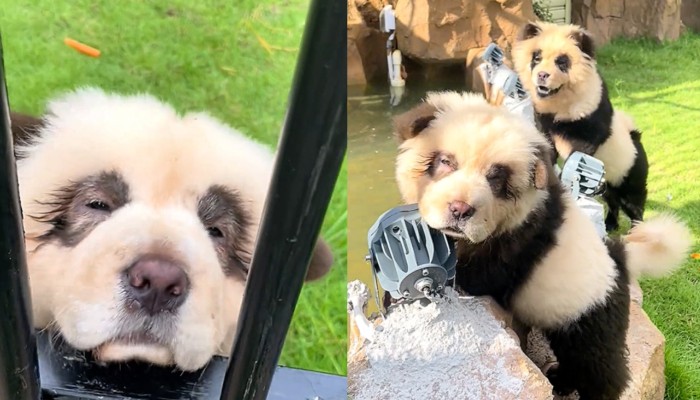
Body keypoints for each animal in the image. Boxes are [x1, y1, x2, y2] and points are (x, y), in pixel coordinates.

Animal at [512, 21, 649, 232]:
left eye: (561, 62)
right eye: (537, 57)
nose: (542, 75)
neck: (559, 101)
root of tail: (635, 136)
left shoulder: (588, 113)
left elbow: (580, 148)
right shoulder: (543, 118)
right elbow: (547, 145)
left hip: (629, 168)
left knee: (632, 200)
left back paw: (636, 227)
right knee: (611, 199)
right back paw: (611, 223)